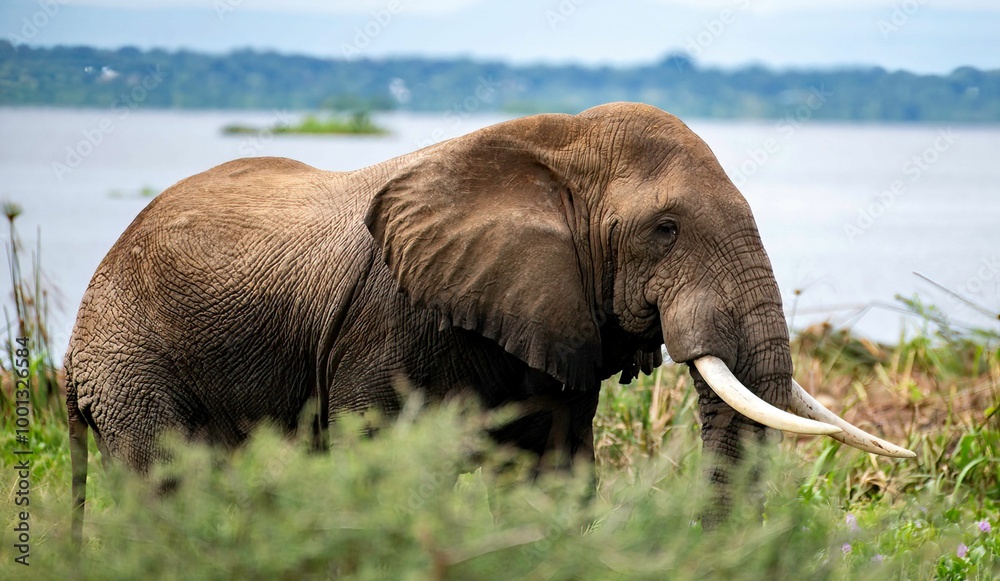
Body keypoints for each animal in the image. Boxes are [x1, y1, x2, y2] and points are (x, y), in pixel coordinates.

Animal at [65, 102, 913, 541]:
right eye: (666, 229)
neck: (560, 141)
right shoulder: (389, 321)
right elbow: (385, 465)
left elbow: (557, 470)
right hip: (131, 358)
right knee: (163, 479)